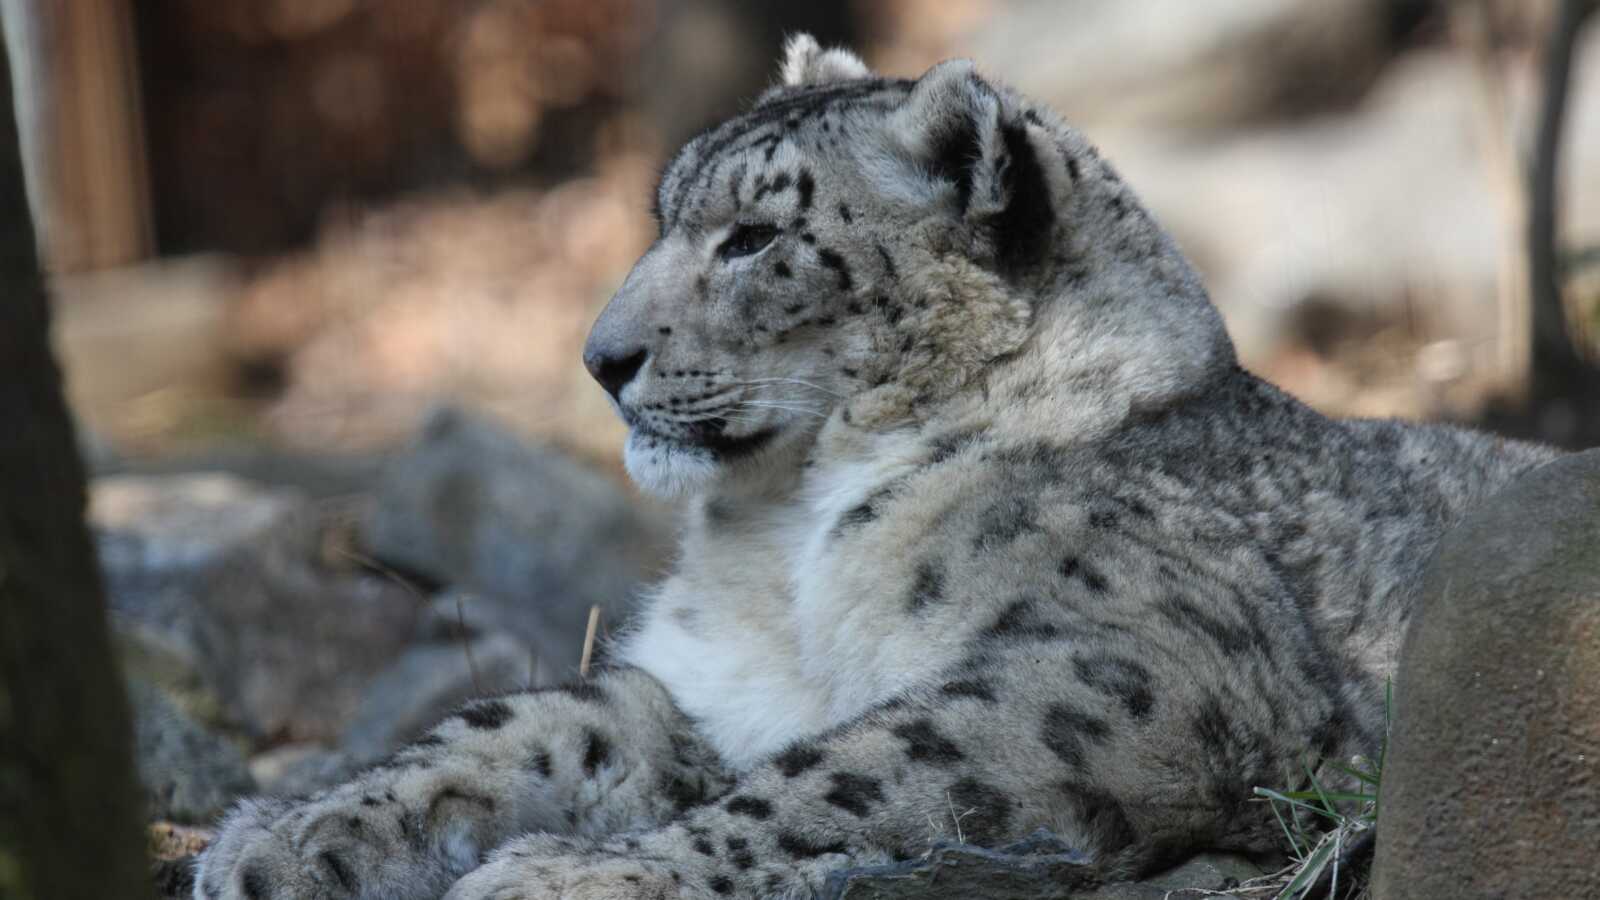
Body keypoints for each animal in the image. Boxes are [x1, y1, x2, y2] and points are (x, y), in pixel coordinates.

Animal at [194, 35, 1559, 899]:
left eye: (755, 238)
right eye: (666, 214)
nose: (599, 358)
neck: (782, 538)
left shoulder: (1126, 667)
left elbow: (853, 769)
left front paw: (574, 874)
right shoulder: (713, 684)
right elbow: (515, 724)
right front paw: (291, 830)